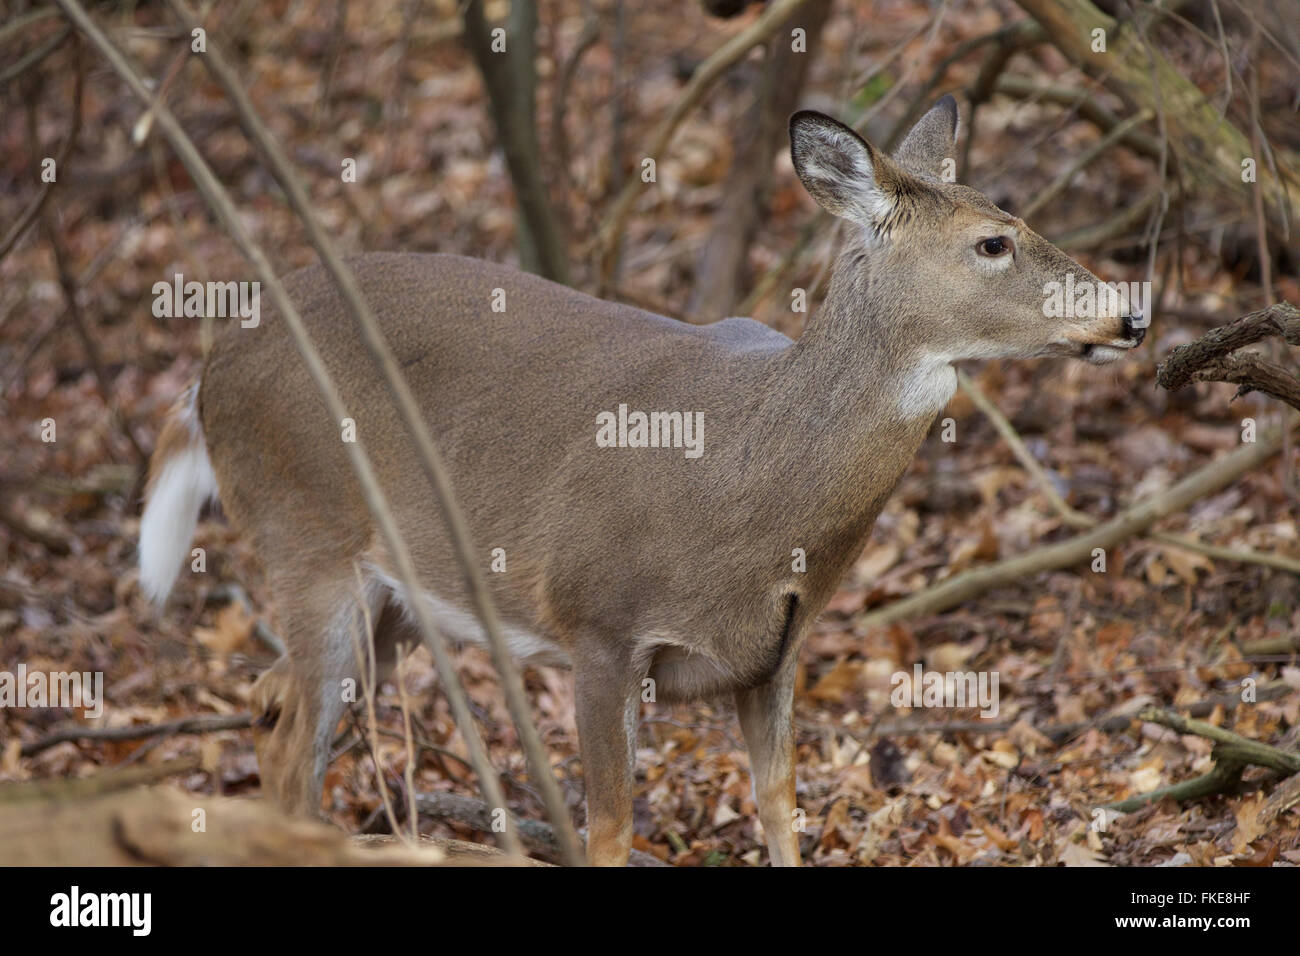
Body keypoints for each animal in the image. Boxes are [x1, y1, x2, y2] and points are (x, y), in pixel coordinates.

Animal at [138, 97, 1144, 866]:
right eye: (993, 243)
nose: (1130, 314)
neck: (746, 483)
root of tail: (206, 371)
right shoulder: (599, 624)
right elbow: (610, 833)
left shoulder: (776, 654)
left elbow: (779, 804)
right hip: (304, 530)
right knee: (293, 745)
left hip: (392, 591)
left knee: (273, 704)